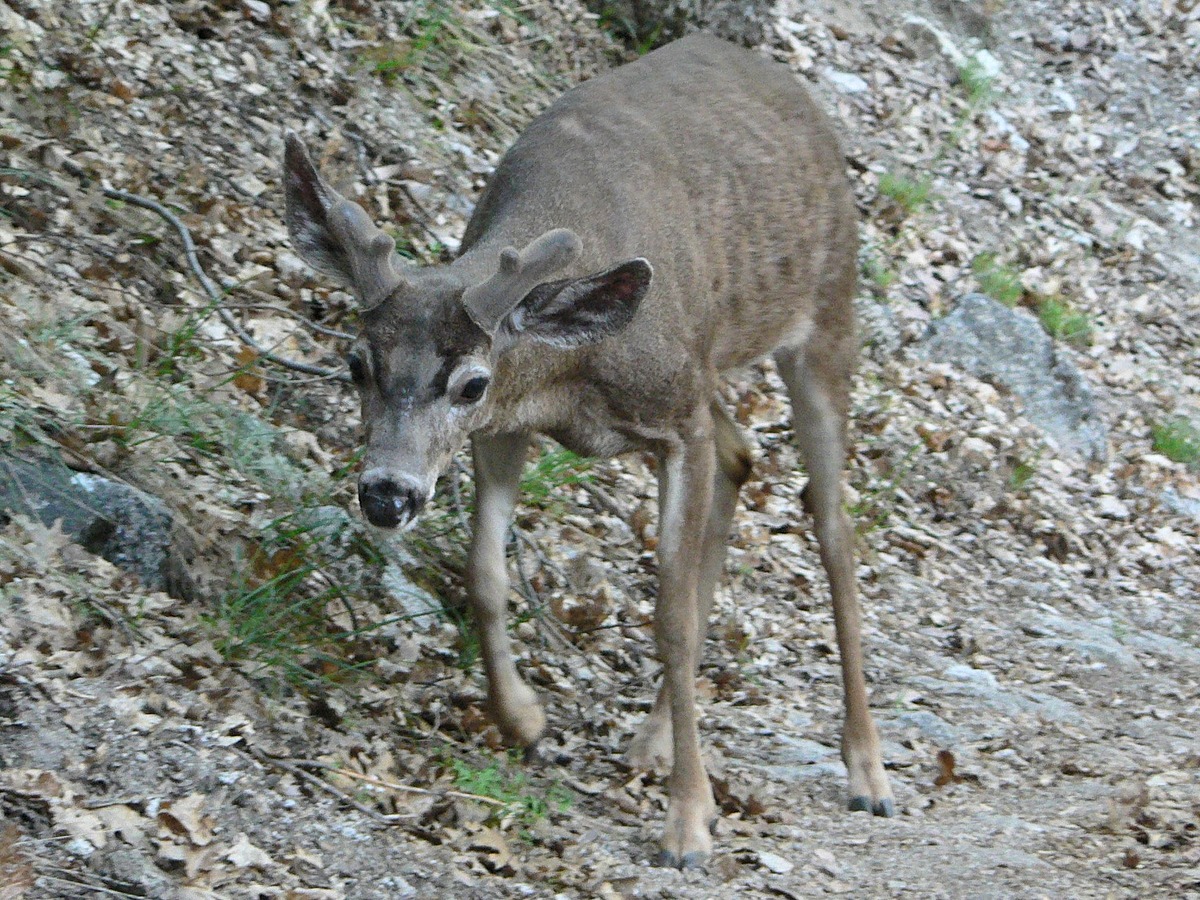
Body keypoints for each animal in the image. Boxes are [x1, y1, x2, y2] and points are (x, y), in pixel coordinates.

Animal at [282, 32, 893, 868]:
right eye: (355, 364)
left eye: (470, 382)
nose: (387, 493)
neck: (568, 372)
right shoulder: (510, 430)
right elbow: (484, 574)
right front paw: (525, 720)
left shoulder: (671, 415)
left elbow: (670, 616)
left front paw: (689, 823)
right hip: (717, 370)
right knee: (742, 455)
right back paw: (654, 739)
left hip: (825, 316)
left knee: (832, 521)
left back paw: (867, 770)